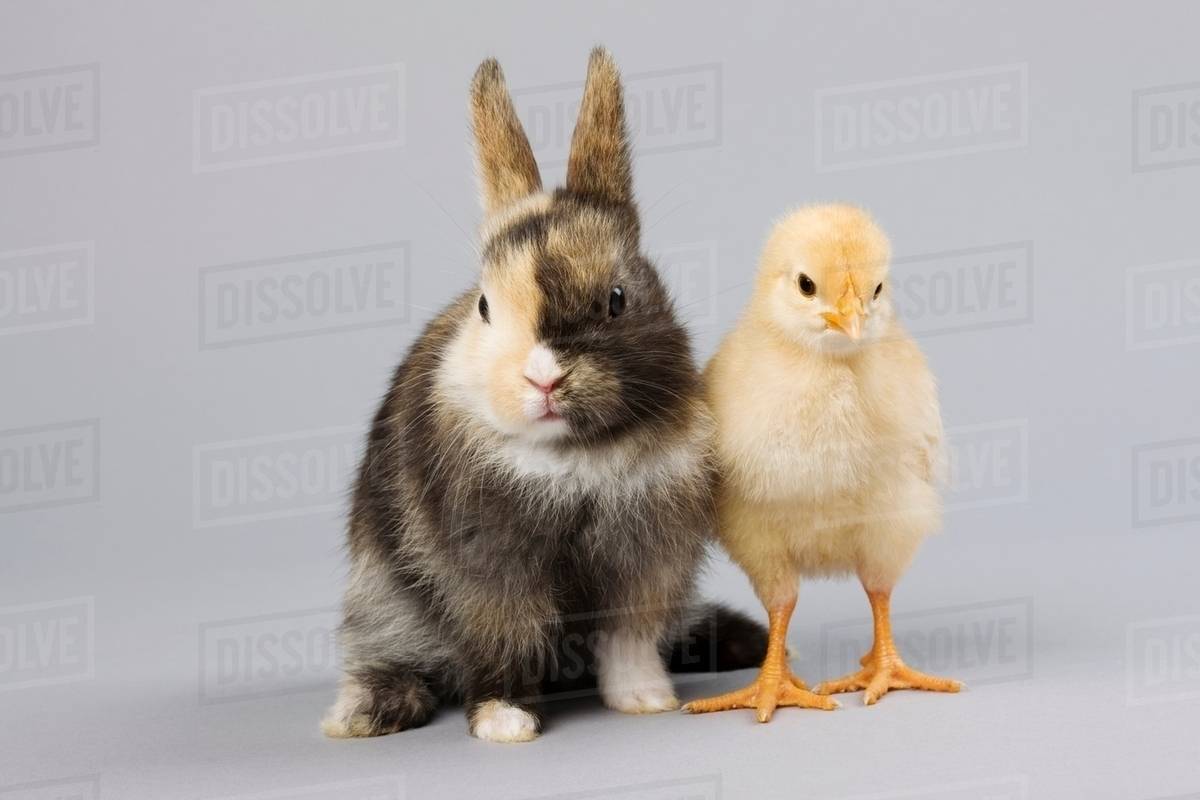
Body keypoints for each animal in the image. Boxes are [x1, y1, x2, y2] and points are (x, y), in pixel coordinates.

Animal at [320, 47, 765, 744]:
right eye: (484, 307)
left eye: (617, 299)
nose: (544, 378)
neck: (573, 454)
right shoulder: (493, 568)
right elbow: (504, 635)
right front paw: (505, 722)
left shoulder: (644, 562)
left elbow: (629, 638)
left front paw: (645, 700)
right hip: (379, 598)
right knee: (387, 652)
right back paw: (367, 712)